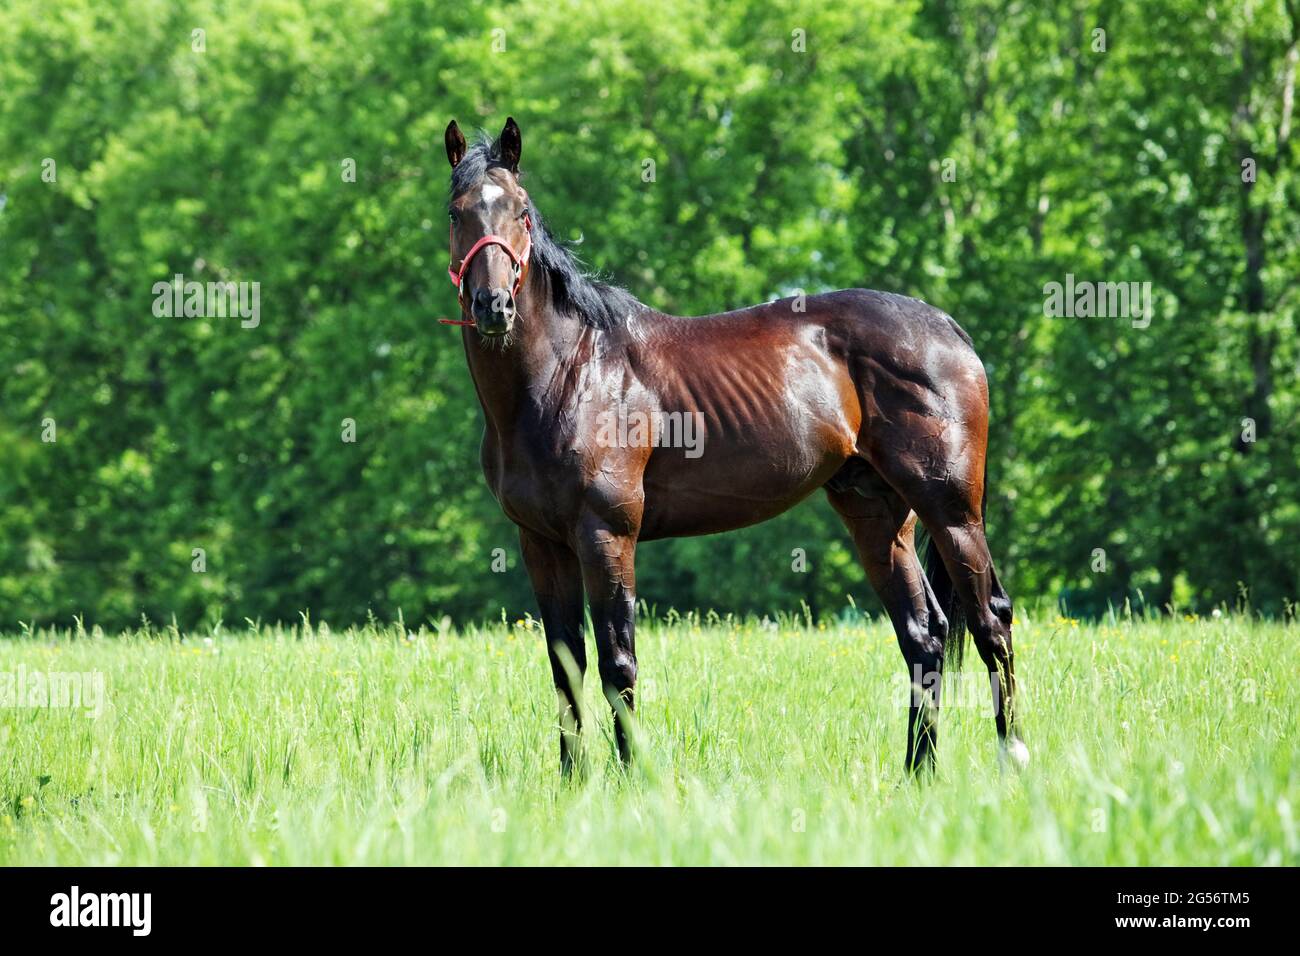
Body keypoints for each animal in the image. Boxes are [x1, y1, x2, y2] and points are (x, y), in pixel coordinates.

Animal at [442, 117, 1028, 776]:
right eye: (457, 212)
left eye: (520, 212)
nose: (494, 307)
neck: (567, 373)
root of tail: (948, 329)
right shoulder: (541, 543)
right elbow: (566, 668)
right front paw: (574, 783)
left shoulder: (606, 534)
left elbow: (619, 664)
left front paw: (630, 778)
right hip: (877, 514)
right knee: (924, 636)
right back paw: (917, 774)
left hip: (950, 508)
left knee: (991, 621)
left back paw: (1012, 758)